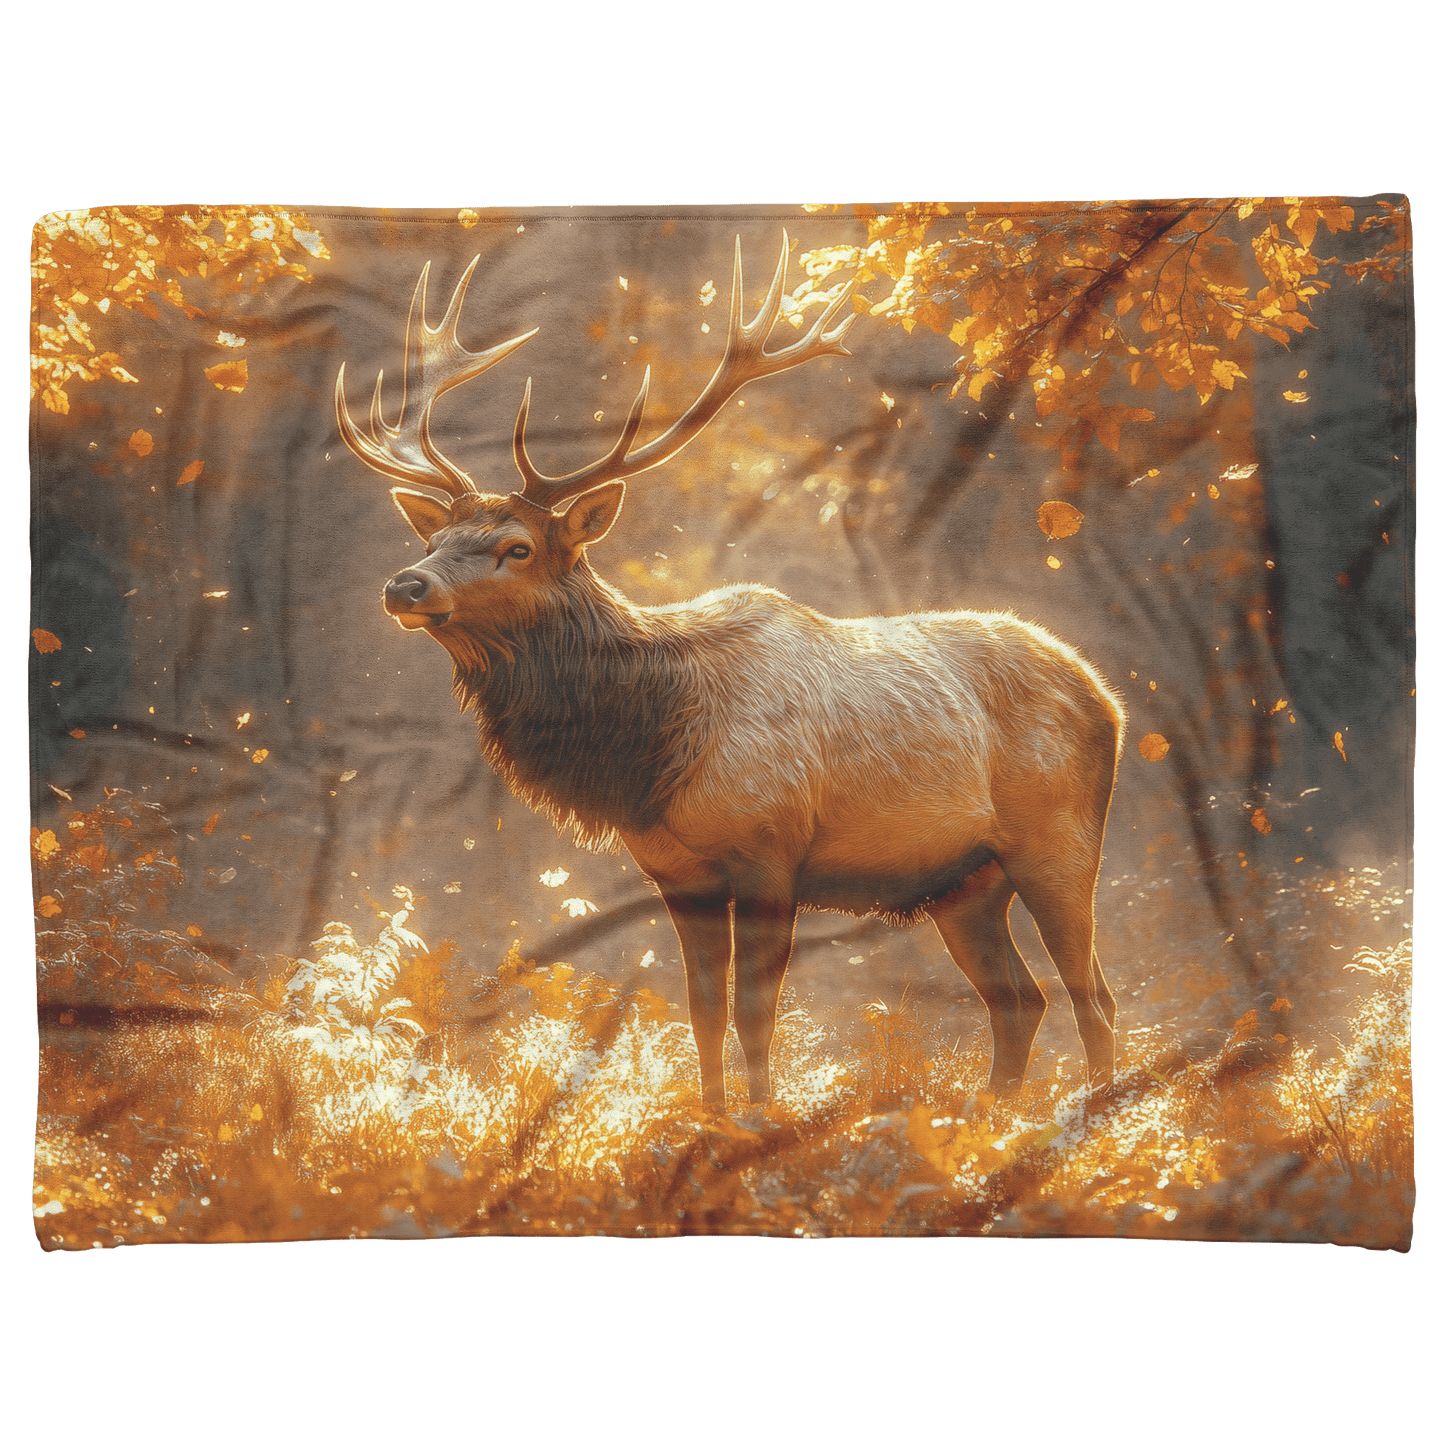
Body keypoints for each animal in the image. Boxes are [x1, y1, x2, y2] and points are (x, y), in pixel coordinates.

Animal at [335, 233, 1126, 1109]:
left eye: (517, 546)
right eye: (436, 539)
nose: (405, 584)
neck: (644, 760)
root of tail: (1105, 694)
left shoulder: (770, 851)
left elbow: (755, 1010)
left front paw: (759, 1121)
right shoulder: (677, 875)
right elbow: (702, 1010)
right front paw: (712, 1119)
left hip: (1058, 836)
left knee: (1093, 993)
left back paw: (1090, 1114)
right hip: (962, 879)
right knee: (1019, 998)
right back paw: (991, 1117)